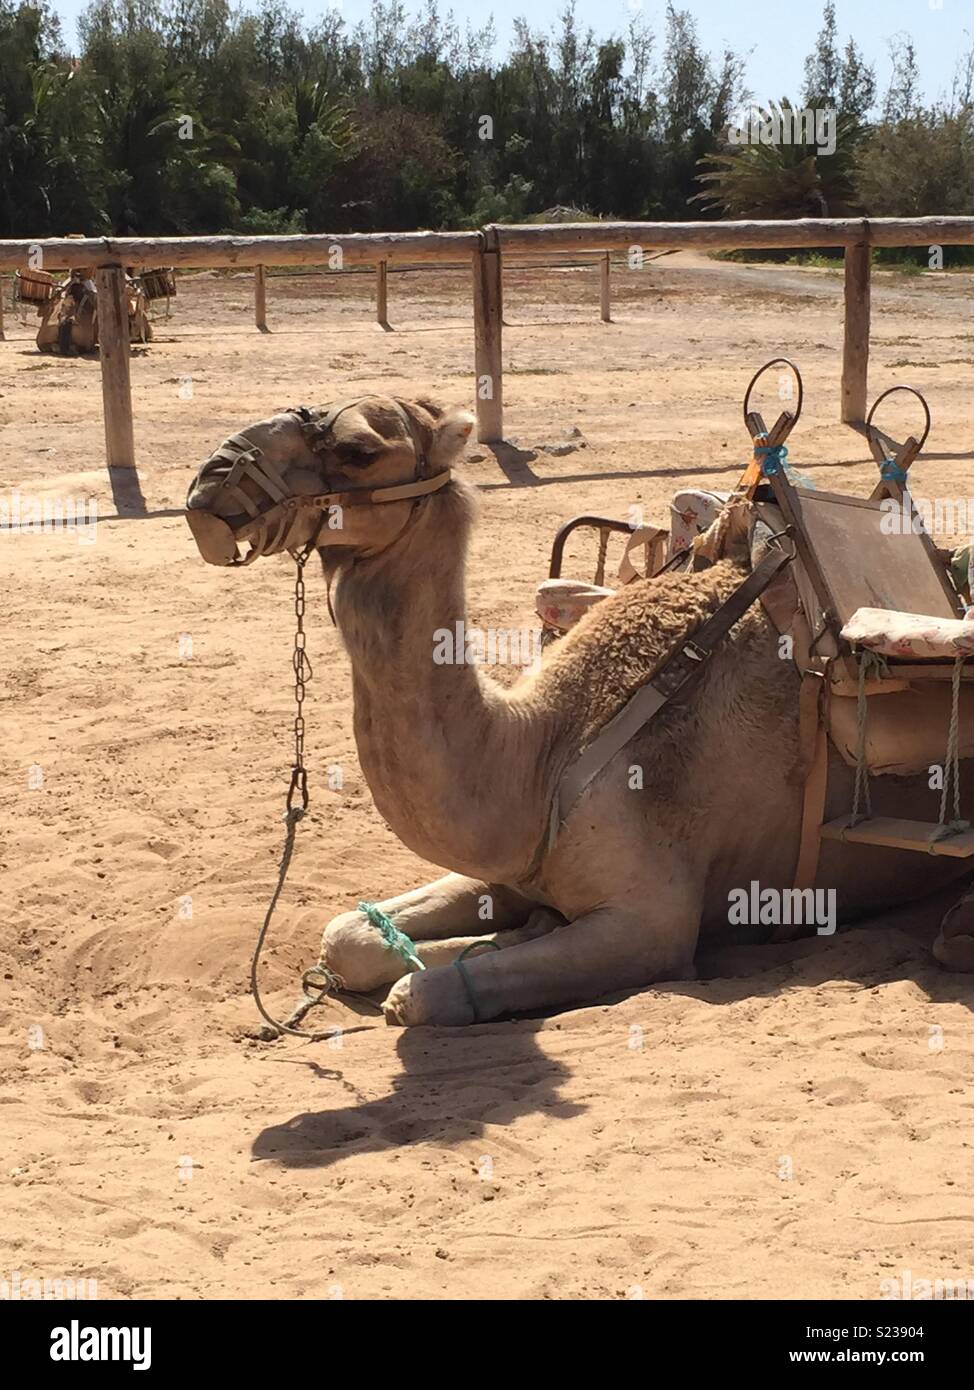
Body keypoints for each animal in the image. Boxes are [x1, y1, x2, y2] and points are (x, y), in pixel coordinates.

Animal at [185, 395, 974, 1027]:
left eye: (358, 448)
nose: (211, 480)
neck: (549, 751)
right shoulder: (516, 858)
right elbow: (348, 934)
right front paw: (510, 931)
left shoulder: (653, 920)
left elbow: (422, 998)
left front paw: (488, 951)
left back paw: (954, 933)